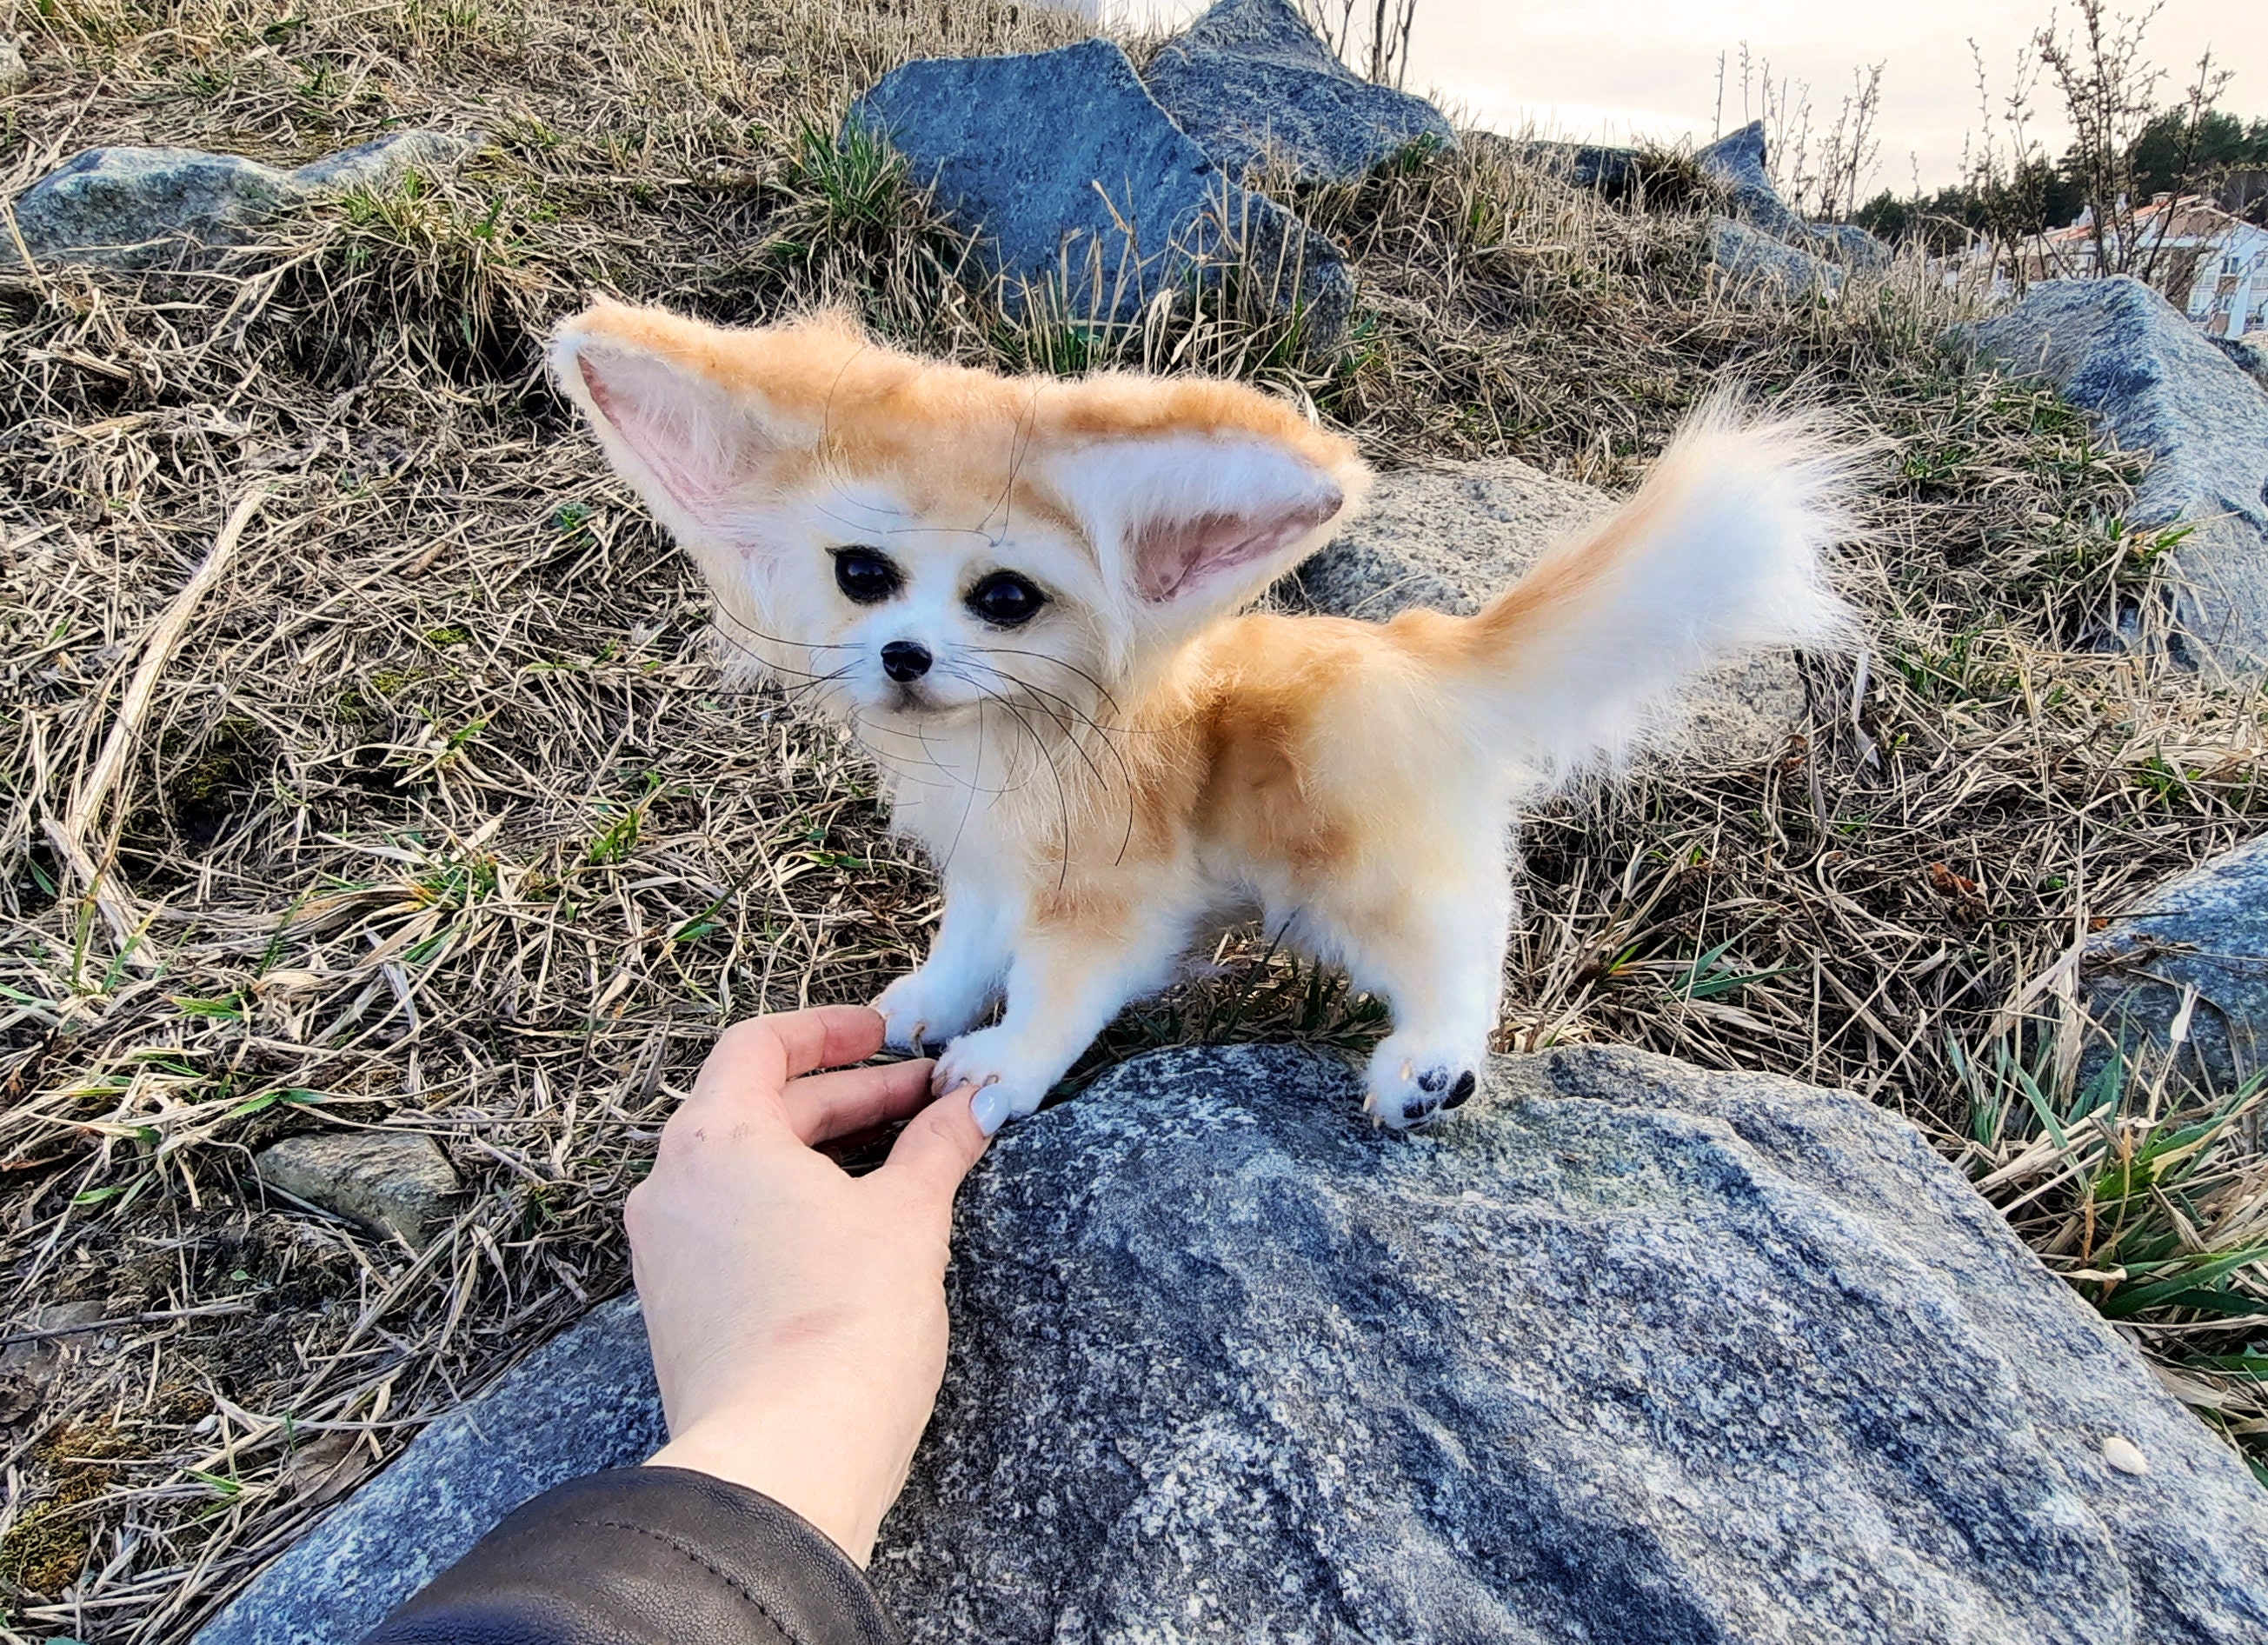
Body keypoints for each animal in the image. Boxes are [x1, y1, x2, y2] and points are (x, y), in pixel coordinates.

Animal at [550, 300, 1854, 1133]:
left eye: (1006, 599)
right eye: (861, 575)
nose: (904, 656)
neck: (1002, 741)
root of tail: (1421, 649)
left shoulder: (1111, 897)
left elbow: (1055, 992)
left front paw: (1001, 1066)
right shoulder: (988, 865)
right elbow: (969, 946)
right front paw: (926, 1004)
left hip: (1353, 869)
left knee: (1461, 939)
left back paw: (1430, 1064)